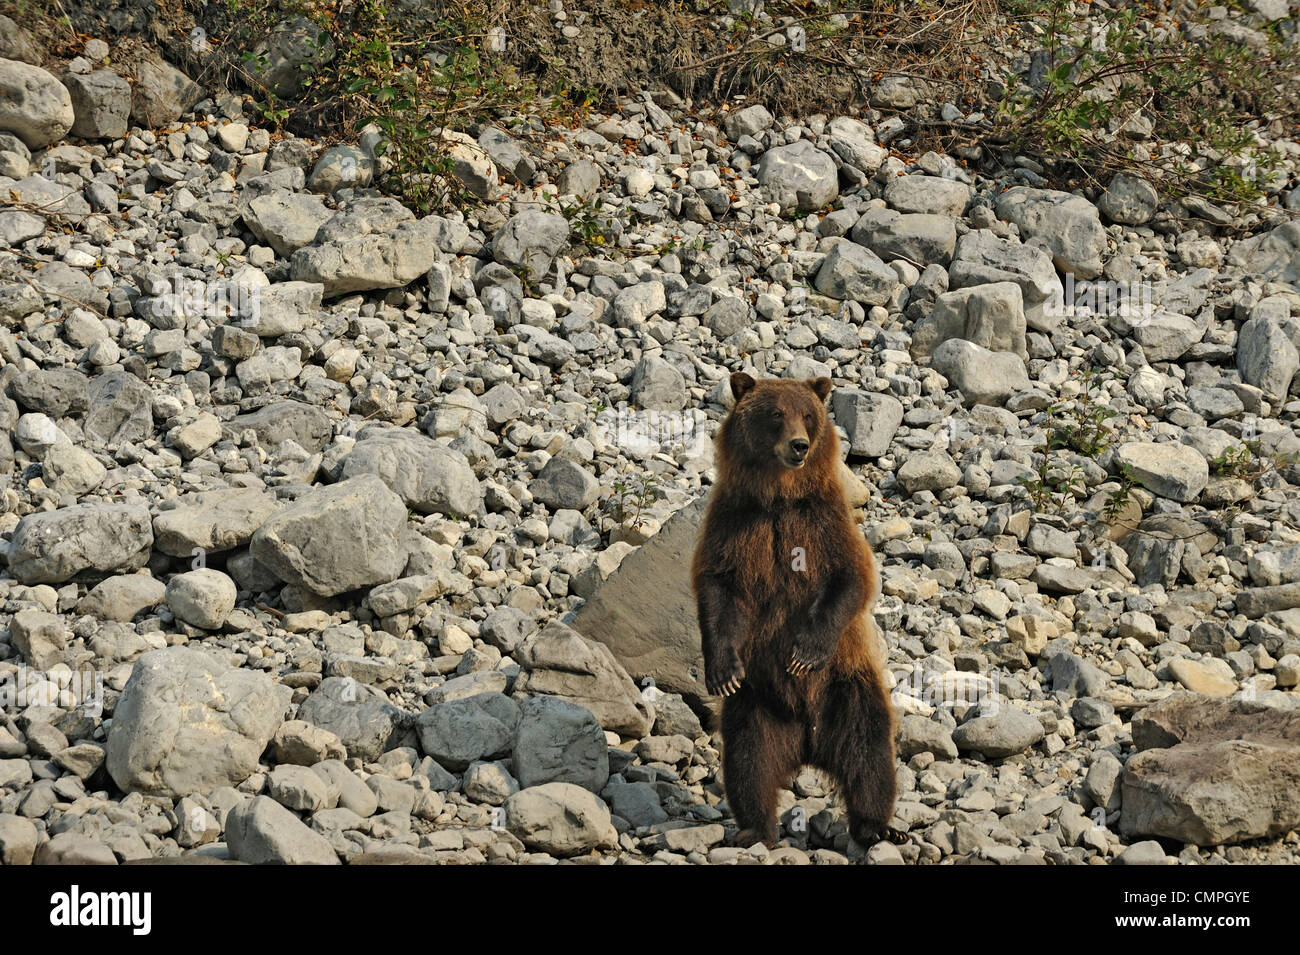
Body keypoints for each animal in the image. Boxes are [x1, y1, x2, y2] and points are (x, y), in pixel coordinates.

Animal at [691, 372, 899, 849]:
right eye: (775, 414)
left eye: (807, 414)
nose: (800, 445)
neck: (778, 499)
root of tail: (807, 744)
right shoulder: (734, 521)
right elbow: (716, 587)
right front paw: (721, 670)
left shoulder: (822, 521)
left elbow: (850, 578)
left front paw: (805, 653)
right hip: (759, 703)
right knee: (749, 762)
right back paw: (754, 829)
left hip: (848, 688)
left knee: (870, 752)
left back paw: (876, 826)